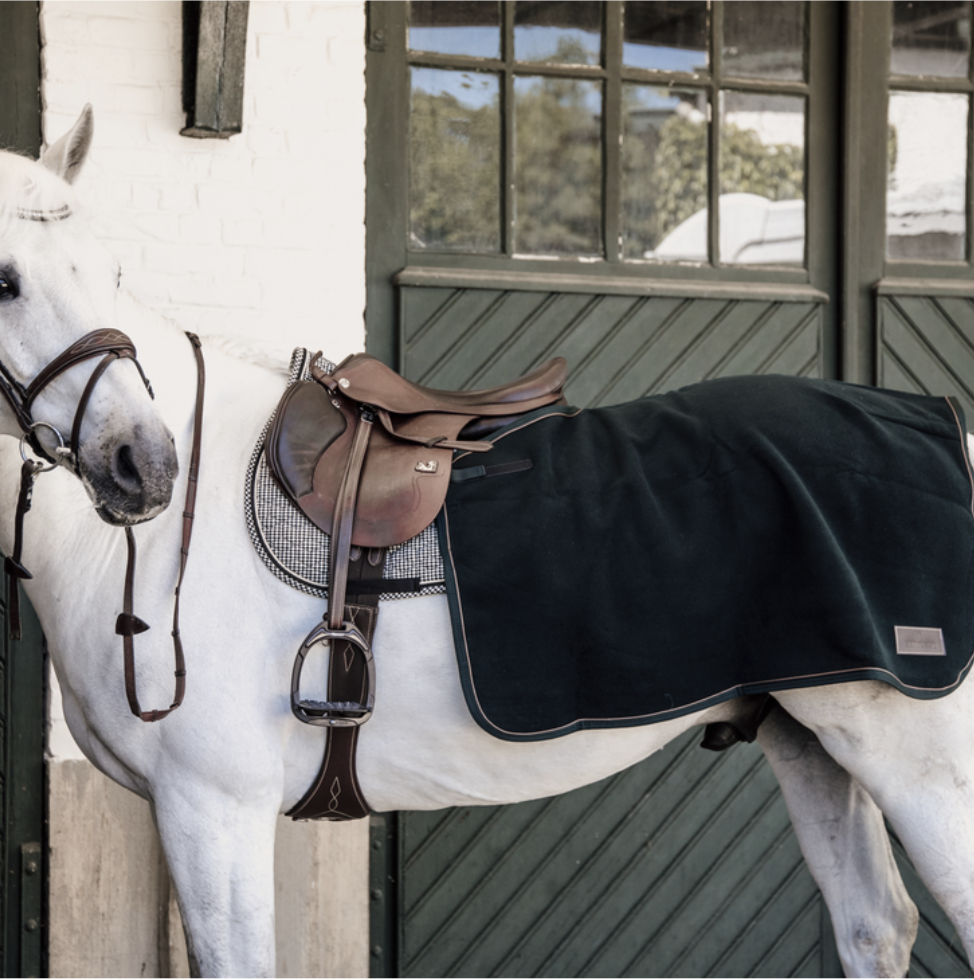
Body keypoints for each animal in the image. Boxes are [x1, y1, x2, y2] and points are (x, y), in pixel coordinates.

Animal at [1, 106, 968, 978]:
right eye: (7, 282)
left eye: (111, 271)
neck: (160, 543)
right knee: (875, 927)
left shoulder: (215, 810)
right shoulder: (185, 814)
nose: (144, 465)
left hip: (925, 770)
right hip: (814, 742)